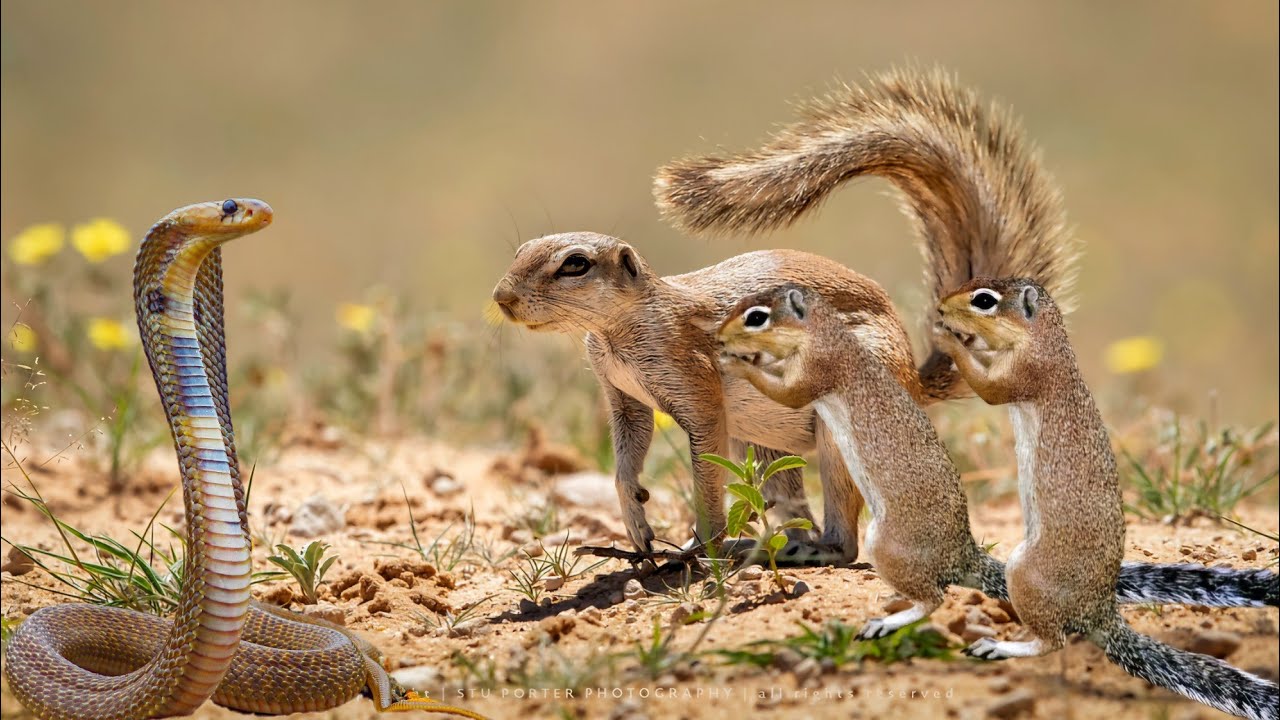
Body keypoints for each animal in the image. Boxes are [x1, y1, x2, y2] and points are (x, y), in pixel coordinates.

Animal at [492, 68, 1076, 564]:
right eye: (519, 251)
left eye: (575, 264)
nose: (502, 297)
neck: (617, 331)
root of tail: (914, 378)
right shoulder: (623, 396)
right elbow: (624, 461)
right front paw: (637, 528)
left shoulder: (695, 386)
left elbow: (706, 473)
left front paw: (702, 545)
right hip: (765, 443)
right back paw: (774, 545)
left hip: (838, 429)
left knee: (846, 540)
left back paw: (803, 550)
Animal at [933, 278, 1278, 720]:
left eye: (984, 300)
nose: (942, 308)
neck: (1046, 338)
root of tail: (1099, 613)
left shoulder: (1027, 370)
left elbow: (990, 388)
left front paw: (947, 338)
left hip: (1023, 572)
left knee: (1054, 641)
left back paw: (1000, 647)